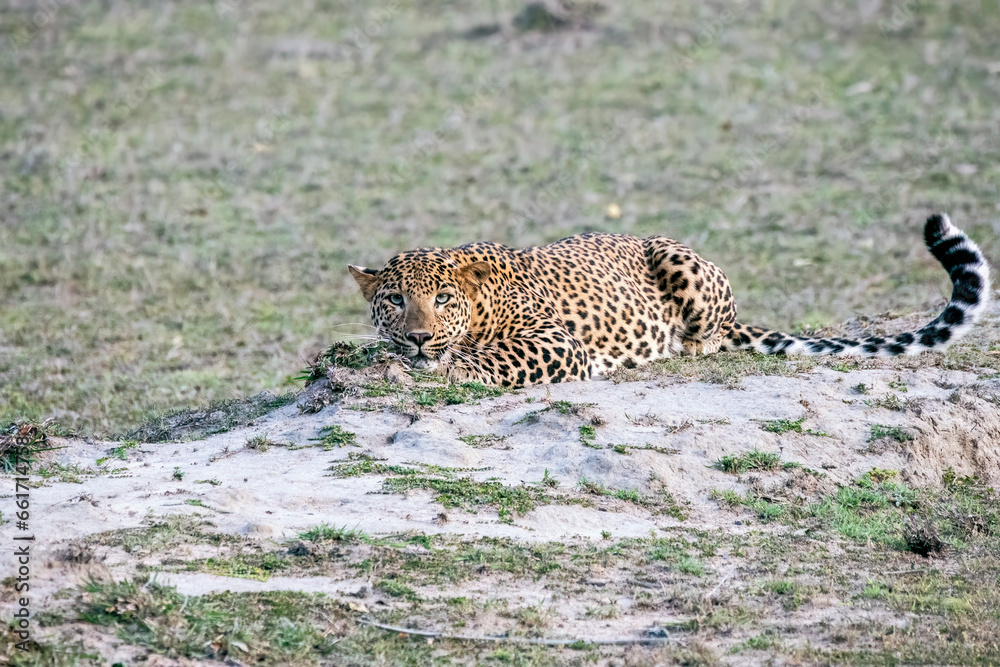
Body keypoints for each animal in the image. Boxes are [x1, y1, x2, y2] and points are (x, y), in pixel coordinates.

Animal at [348, 214, 990, 388]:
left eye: (442, 298)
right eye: (396, 300)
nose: (418, 337)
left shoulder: (558, 342)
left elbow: (492, 357)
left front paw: (451, 365)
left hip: (681, 266)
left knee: (711, 338)